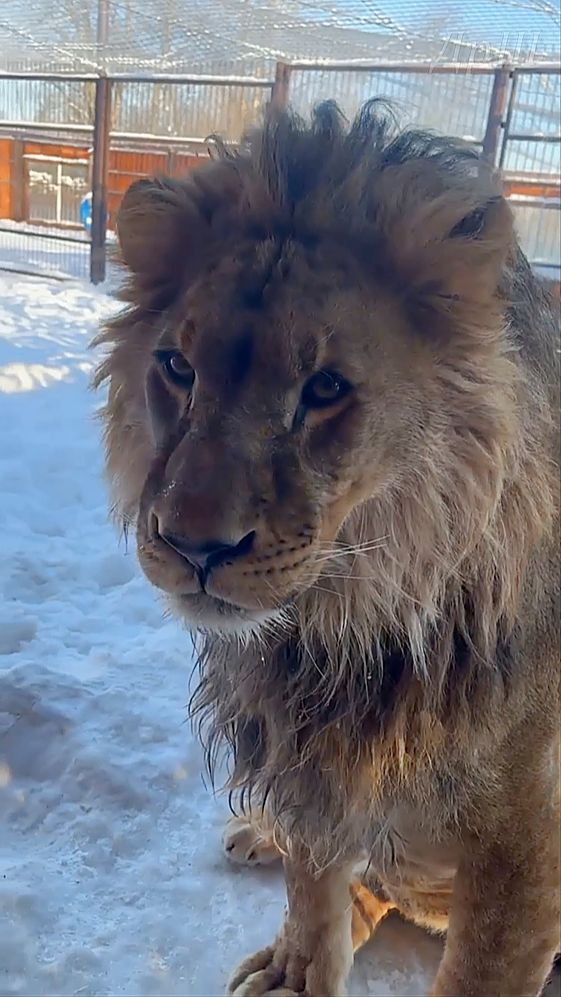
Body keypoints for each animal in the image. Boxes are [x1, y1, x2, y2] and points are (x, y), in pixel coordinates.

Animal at [94, 101, 560, 996]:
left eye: (325, 388)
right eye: (176, 366)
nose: (191, 542)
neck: (346, 628)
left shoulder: (524, 858)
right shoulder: (313, 759)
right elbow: (313, 888)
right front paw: (295, 972)